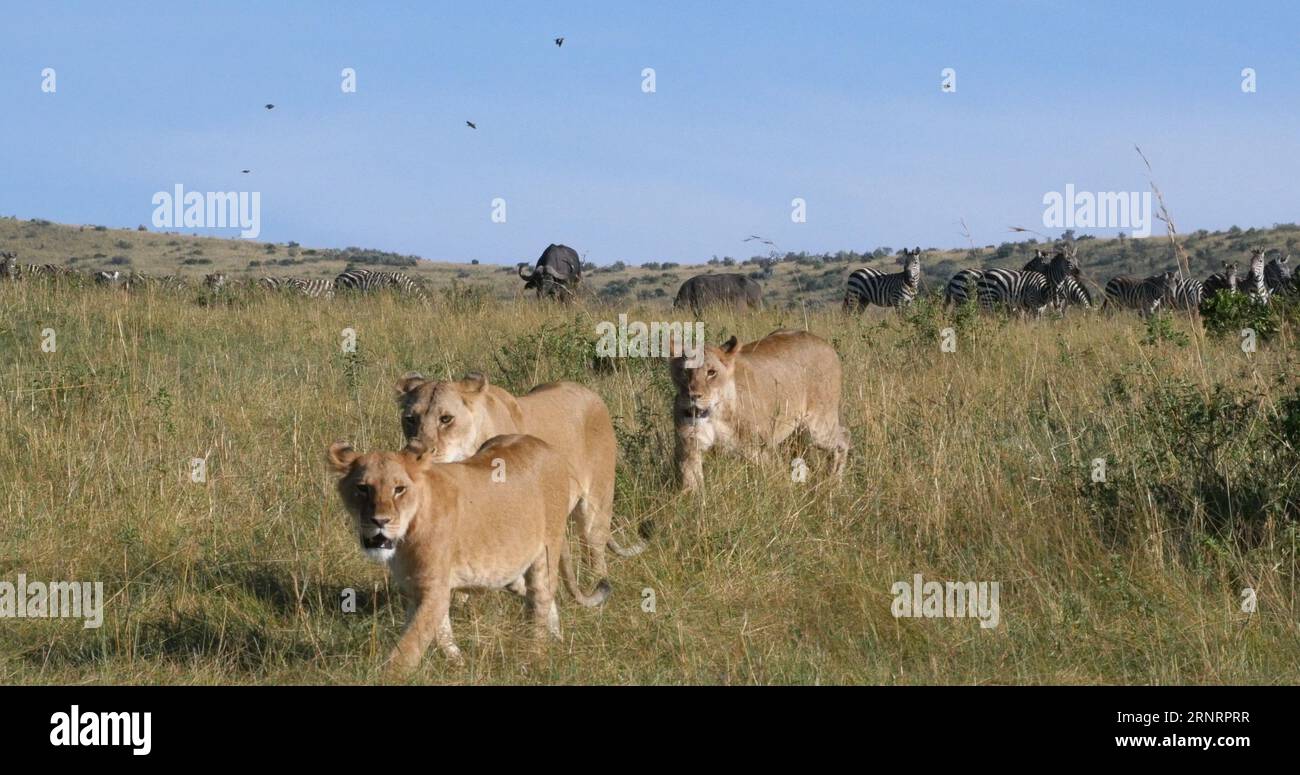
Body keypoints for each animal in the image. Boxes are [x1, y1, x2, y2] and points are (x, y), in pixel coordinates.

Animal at [327, 434, 609, 672]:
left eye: (399, 489)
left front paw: (383, 676)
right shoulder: (415, 589)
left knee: (540, 599)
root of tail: (547, 447)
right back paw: (557, 638)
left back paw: (535, 656)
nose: (380, 521)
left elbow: (408, 647)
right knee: (540, 596)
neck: (406, 535)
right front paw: (458, 663)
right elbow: (439, 632)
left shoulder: (434, 590)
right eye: (363, 488)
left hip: (546, 551)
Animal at [395, 373, 644, 589]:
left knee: (595, 550)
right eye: (410, 419)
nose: (414, 452)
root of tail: (591, 393)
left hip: (597, 503)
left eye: (446, 419)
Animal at [667, 329, 849, 491]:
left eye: (711, 372)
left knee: (844, 437)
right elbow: (692, 485)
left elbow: (767, 482)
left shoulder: (759, 450)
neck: (714, 414)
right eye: (684, 371)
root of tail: (825, 344)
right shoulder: (689, 447)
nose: (693, 395)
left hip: (818, 428)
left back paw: (834, 482)